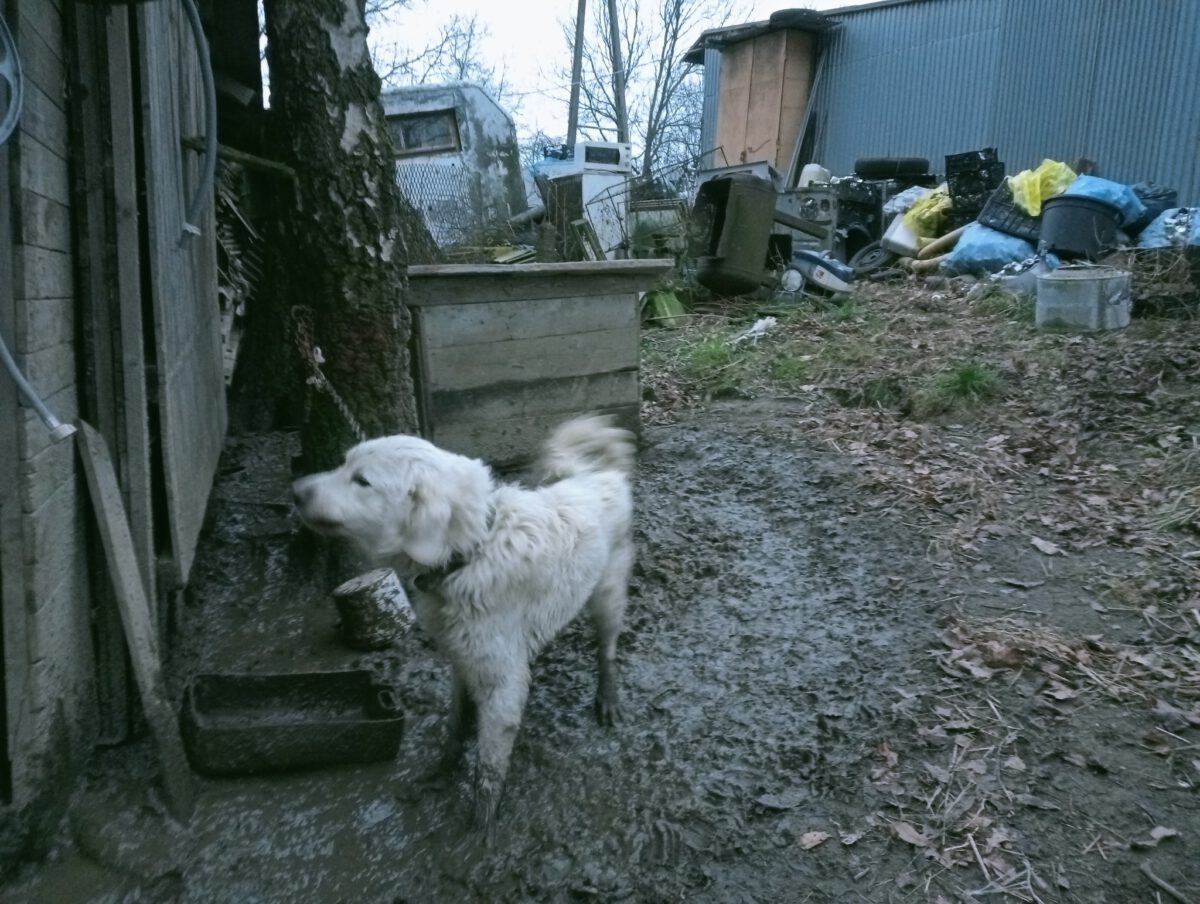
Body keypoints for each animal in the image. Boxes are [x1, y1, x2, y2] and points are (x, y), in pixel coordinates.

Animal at [291, 415, 635, 832]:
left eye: (362, 481)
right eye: (343, 464)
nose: (295, 491)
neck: (470, 554)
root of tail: (595, 474)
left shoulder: (501, 683)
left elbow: (488, 767)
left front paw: (479, 828)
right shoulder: (462, 658)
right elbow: (455, 726)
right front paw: (439, 775)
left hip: (607, 596)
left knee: (607, 649)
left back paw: (608, 698)